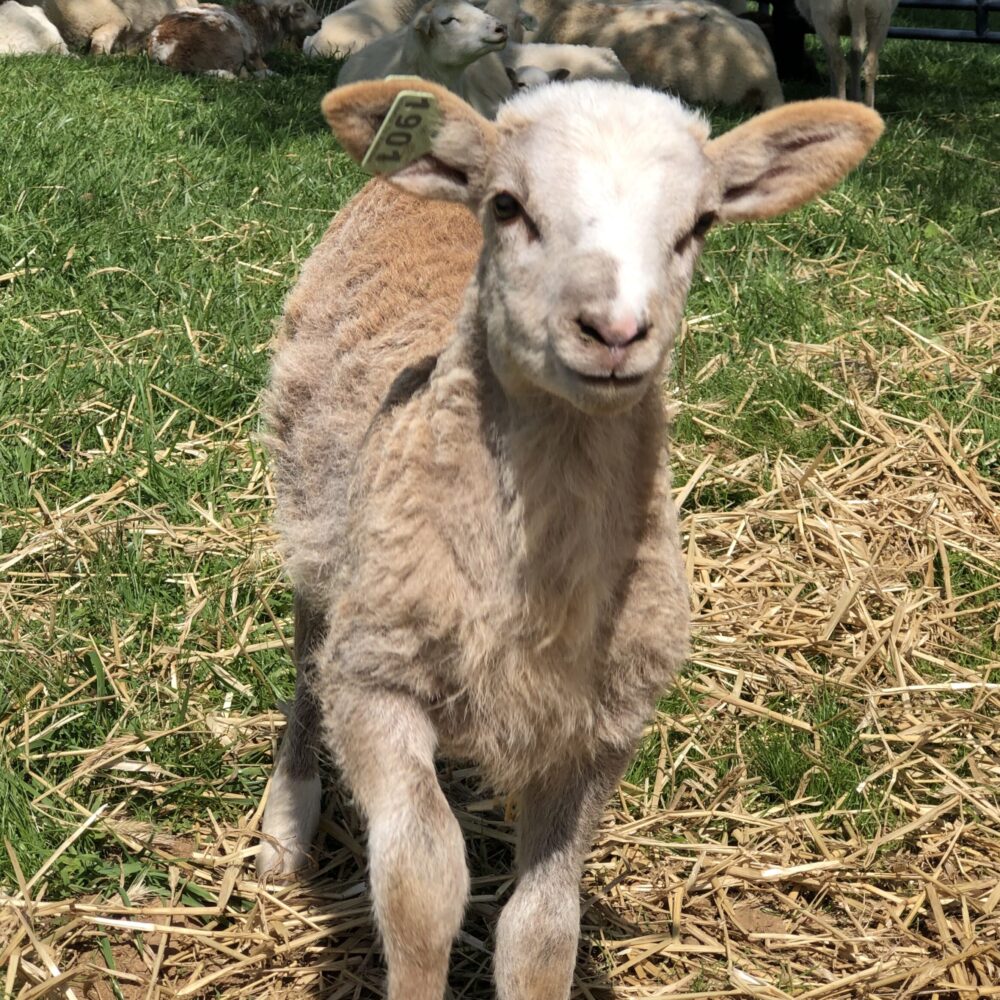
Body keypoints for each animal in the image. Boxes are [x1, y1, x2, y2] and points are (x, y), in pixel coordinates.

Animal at [148, 0, 320, 79]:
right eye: (299, 9)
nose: (319, 23)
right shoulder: (252, 54)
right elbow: (260, 67)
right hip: (229, 49)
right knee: (244, 76)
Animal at [256, 75, 882, 999]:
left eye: (699, 225)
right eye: (509, 206)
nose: (615, 330)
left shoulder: (599, 731)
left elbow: (544, 927)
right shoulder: (377, 680)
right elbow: (421, 881)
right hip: (317, 518)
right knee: (308, 658)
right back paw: (288, 819)